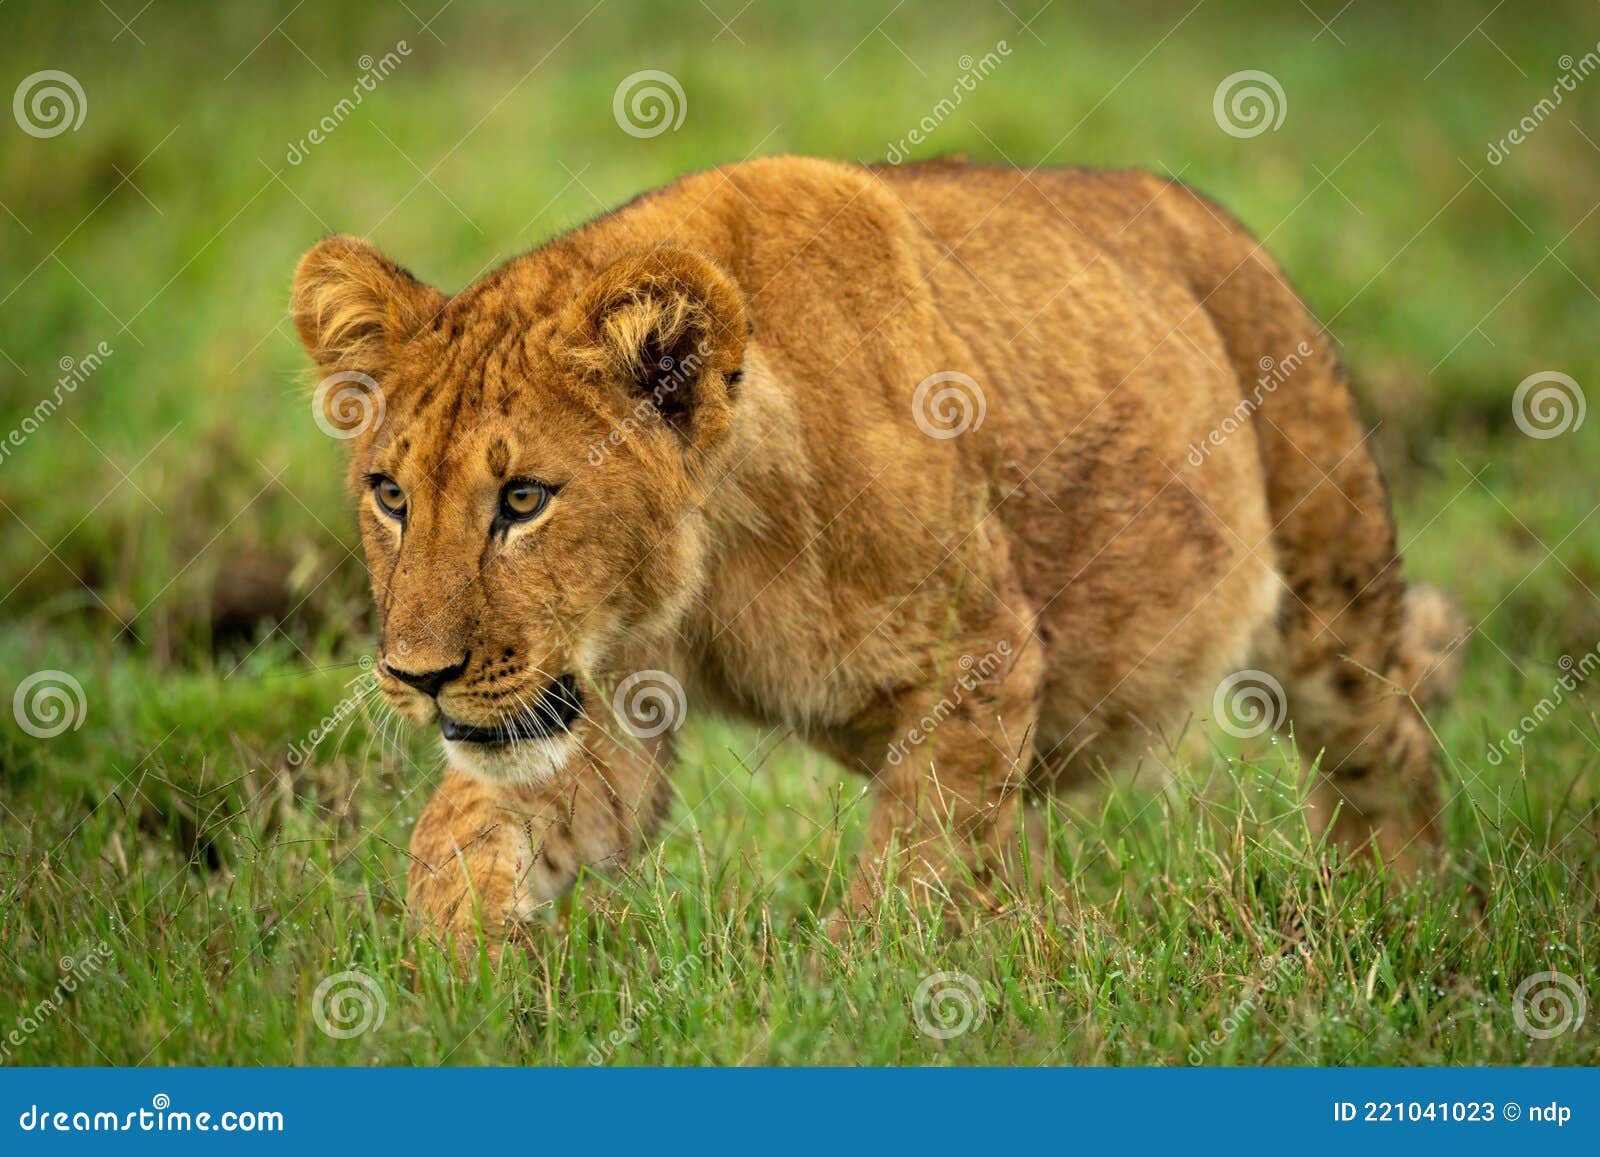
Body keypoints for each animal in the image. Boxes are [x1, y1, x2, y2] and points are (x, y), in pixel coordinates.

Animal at [290, 156, 1466, 947]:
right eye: (391, 495)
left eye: (524, 499)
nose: (417, 675)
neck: (716, 559)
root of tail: (1218, 223)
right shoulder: (599, 705)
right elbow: (459, 835)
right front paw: (459, 988)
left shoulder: (981, 658)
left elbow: (909, 884)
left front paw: (859, 996)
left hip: (1328, 589)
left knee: (1388, 740)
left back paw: (1398, 904)